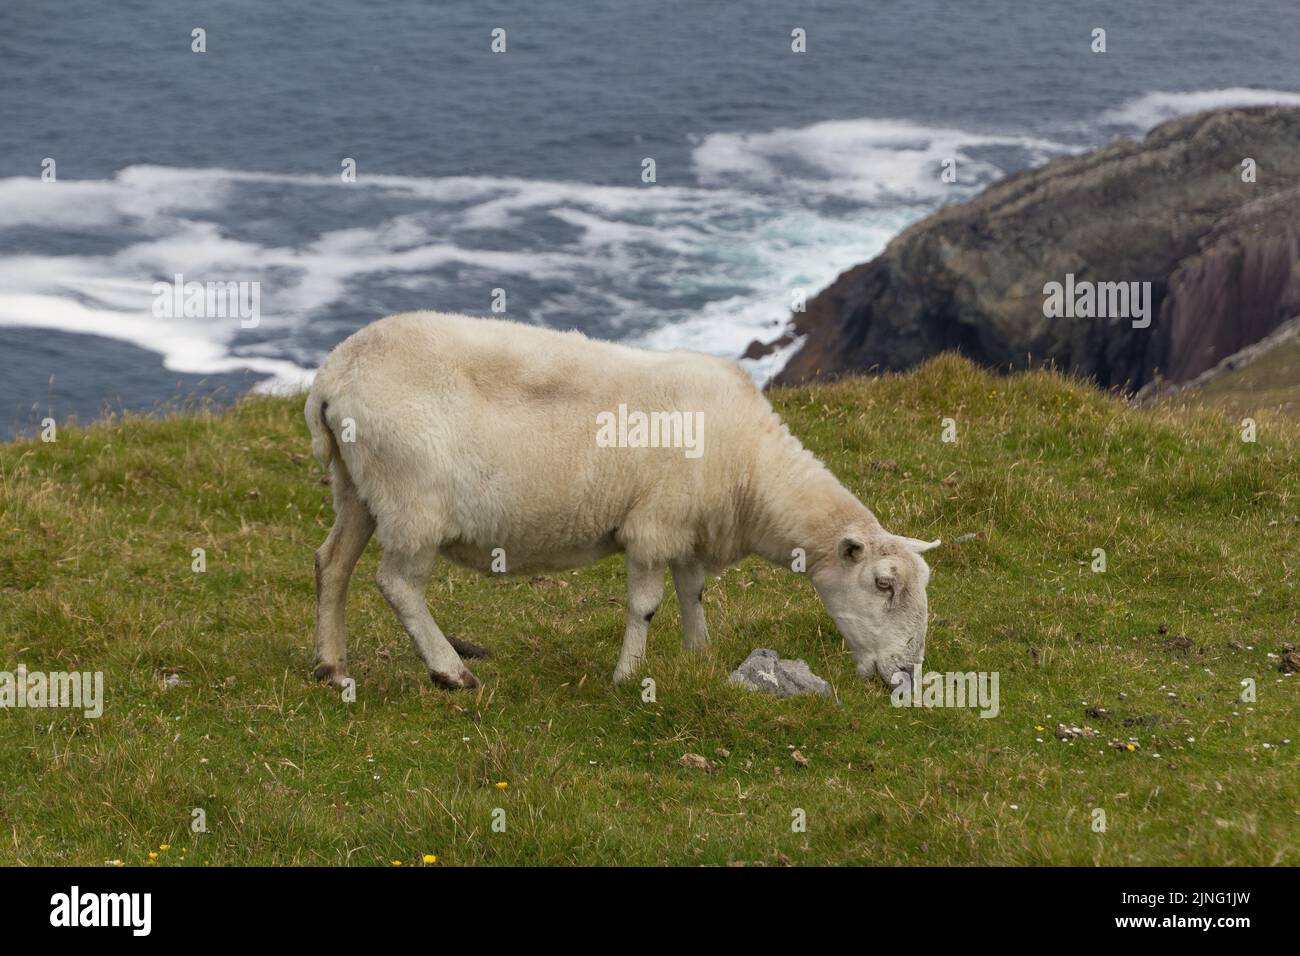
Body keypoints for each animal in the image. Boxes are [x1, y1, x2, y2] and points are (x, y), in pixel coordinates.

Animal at [304, 311, 939, 691]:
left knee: (331, 564)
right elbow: (646, 606)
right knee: (397, 584)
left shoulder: (687, 529)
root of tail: (332, 375)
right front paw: (628, 676)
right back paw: (450, 671)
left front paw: (699, 655)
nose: (908, 672)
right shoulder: (652, 526)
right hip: (412, 502)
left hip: (357, 488)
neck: (753, 471)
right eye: (884, 585)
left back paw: (332, 667)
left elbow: (693, 592)